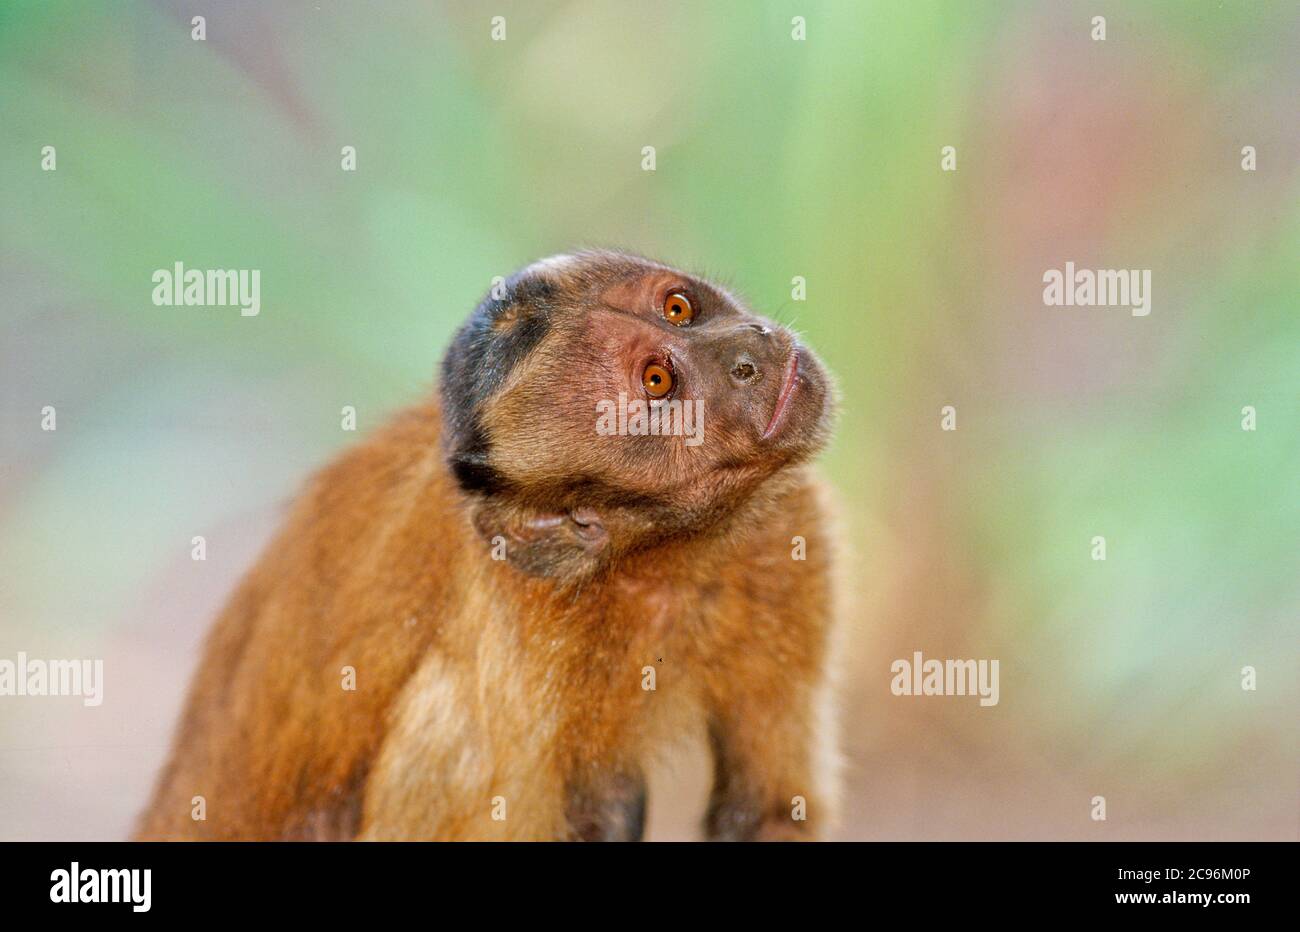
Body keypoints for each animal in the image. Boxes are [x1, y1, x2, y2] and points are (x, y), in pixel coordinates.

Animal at [135, 250, 840, 841]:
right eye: (659, 381)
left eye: (679, 309)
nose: (746, 353)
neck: (656, 554)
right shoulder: (520, 636)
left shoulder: (786, 532)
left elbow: (768, 811)